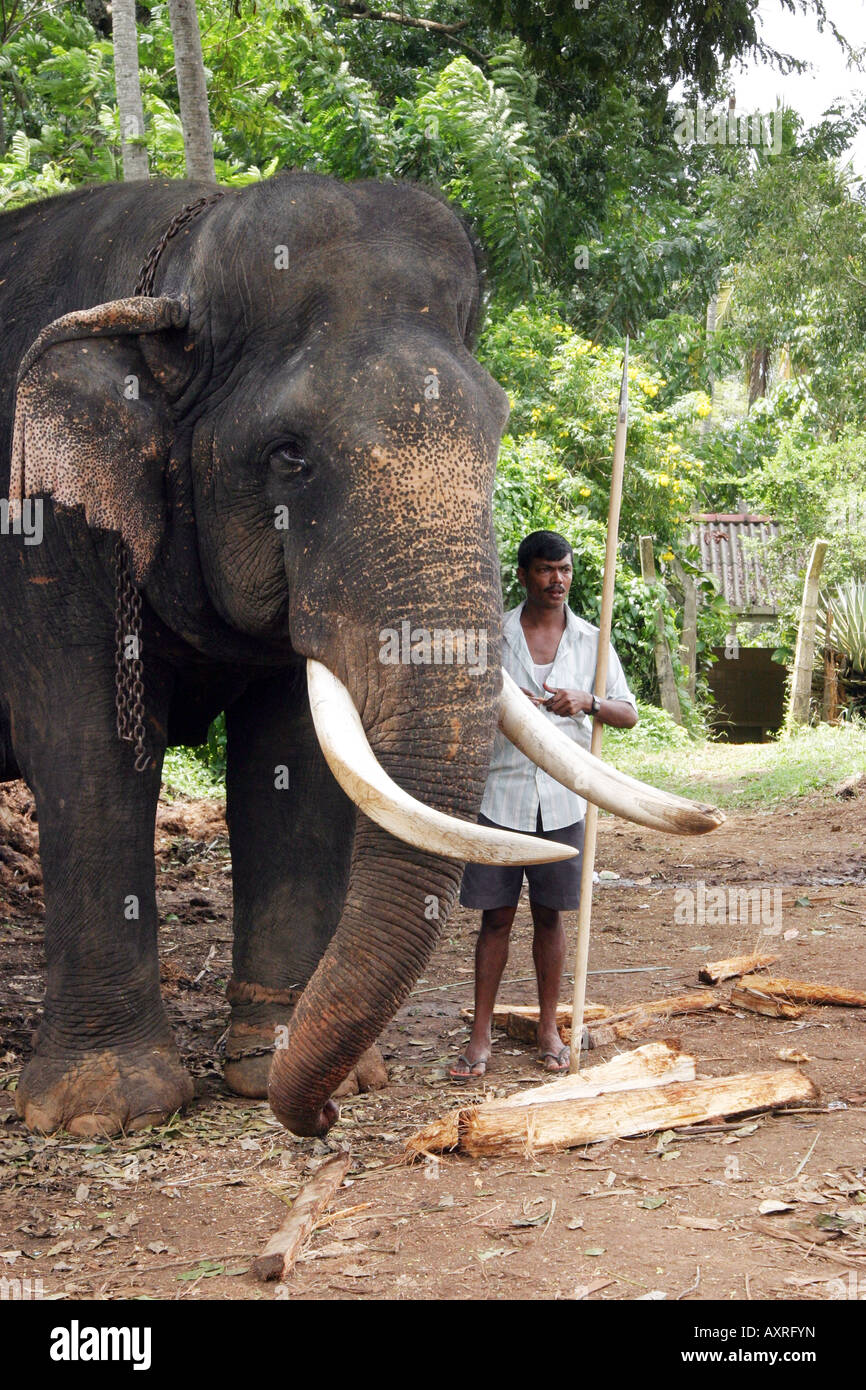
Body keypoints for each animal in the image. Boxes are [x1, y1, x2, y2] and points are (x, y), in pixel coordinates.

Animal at [0, 172, 722, 1139]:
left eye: (497, 429)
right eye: (288, 455)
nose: (325, 1118)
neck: (174, 262)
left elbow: (294, 763)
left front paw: (269, 1066)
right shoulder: (39, 529)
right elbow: (87, 753)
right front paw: (105, 1111)